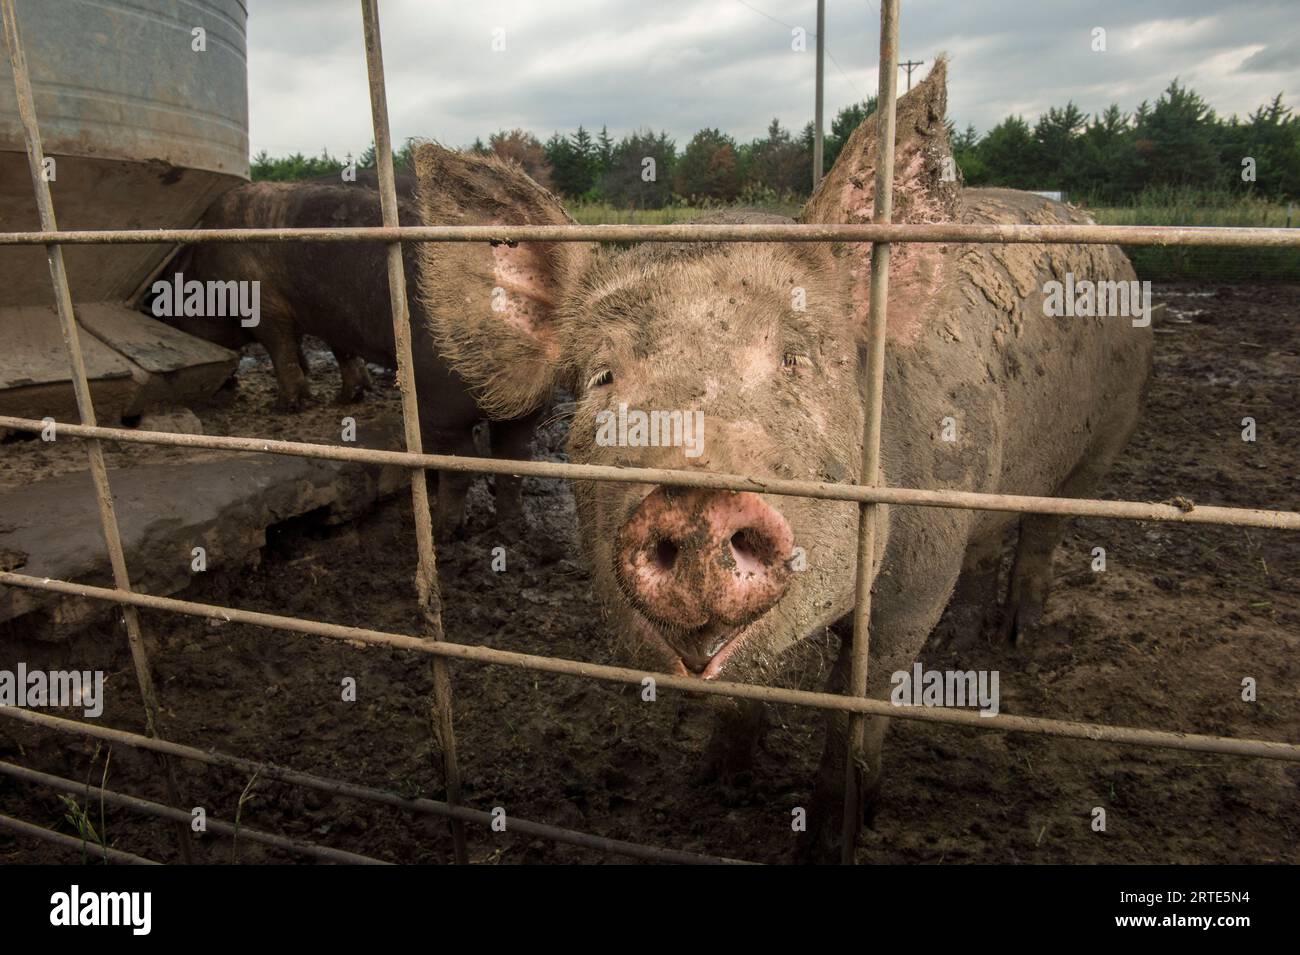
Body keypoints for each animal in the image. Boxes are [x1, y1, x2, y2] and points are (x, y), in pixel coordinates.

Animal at [163, 170, 540, 535]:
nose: (226, 385)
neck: (203, 269)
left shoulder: (265, 307)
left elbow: (281, 349)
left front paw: (285, 406)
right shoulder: (334, 319)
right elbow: (341, 351)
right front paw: (347, 398)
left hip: (441, 403)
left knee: (461, 464)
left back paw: (447, 531)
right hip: (526, 409)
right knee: (513, 461)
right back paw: (511, 529)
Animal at [411, 58, 1153, 858]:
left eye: (797, 361)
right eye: (603, 377)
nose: (693, 501)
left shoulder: (910, 589)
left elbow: (857, 714)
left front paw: (832, 840)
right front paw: (714, 783)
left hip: (1109, 430)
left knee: (1046, 528)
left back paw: (1013, 635)